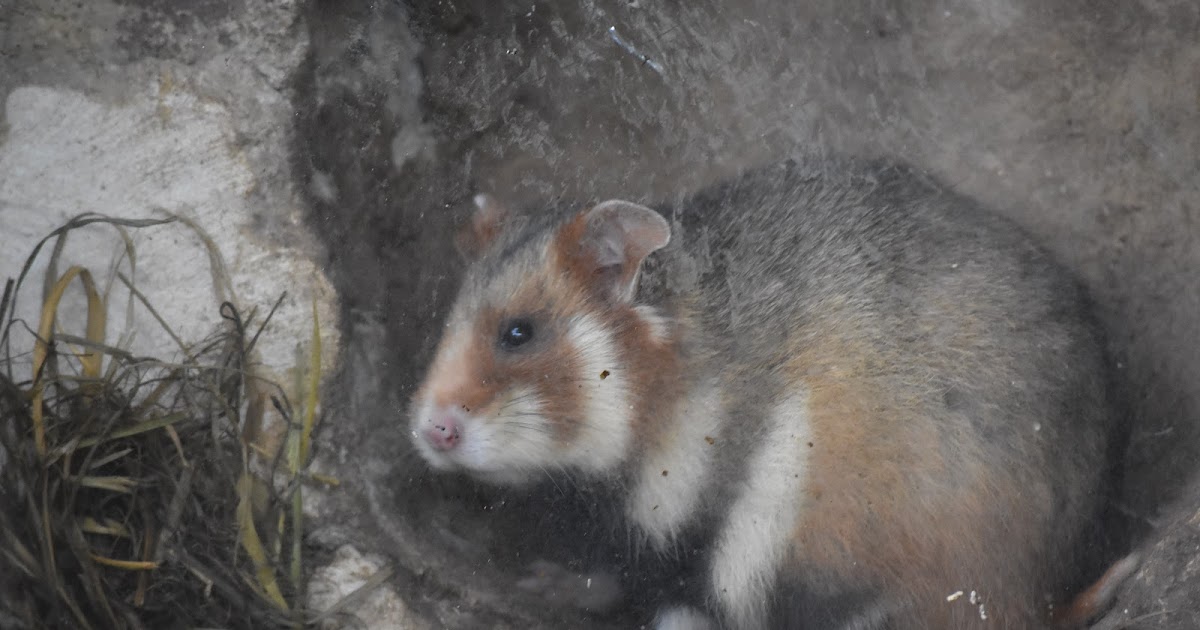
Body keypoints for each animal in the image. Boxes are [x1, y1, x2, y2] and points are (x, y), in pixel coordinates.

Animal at [408, 157, 1122, 629]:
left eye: (518, 333)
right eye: (447, 322)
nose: (428, 431)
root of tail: (1035, 602)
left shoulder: (691, 520)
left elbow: (625, 577)